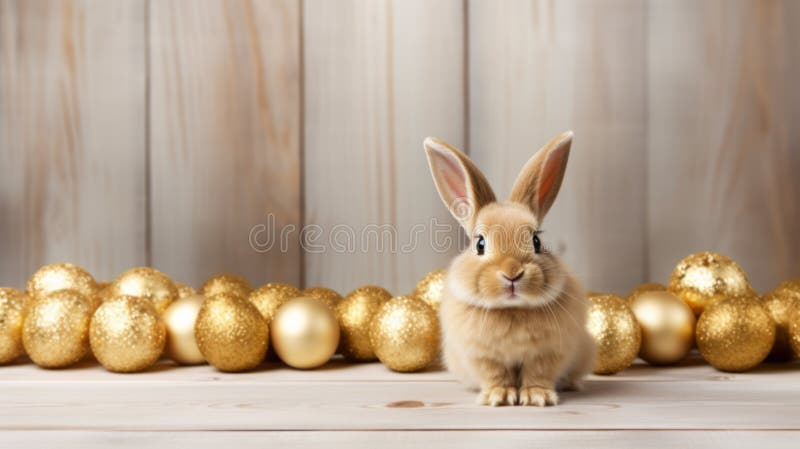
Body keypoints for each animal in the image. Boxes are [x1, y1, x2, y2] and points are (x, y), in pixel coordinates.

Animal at [424, 131, 596, 407]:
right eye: (480, 244)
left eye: (536, 241)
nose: (512, 273)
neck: (512, 309)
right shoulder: (483, 356)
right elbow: (496, 375)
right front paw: (499, 397)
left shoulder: (548, 353)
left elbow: (538, 374)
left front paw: (537, 397)